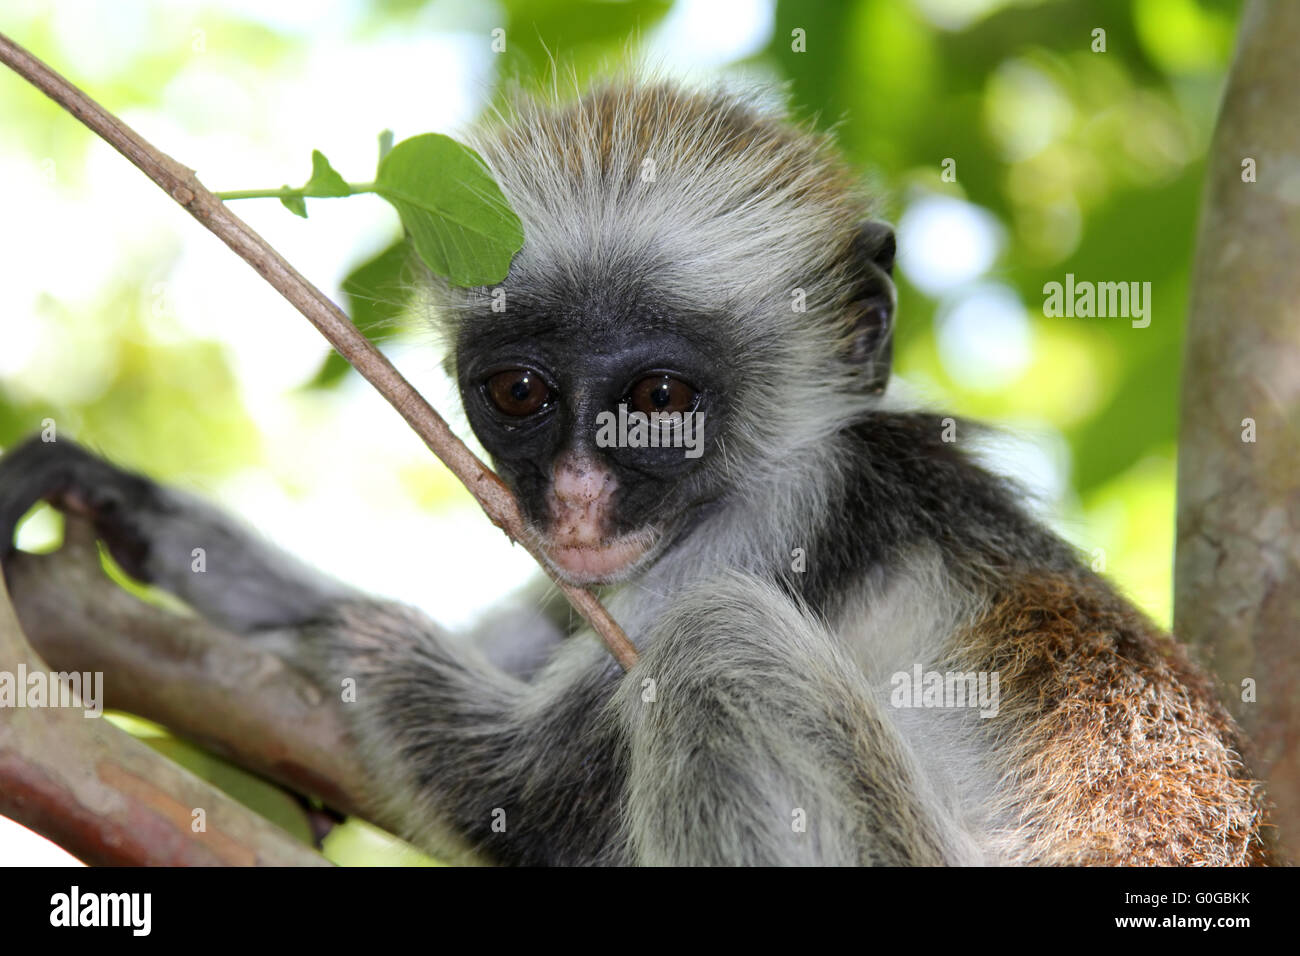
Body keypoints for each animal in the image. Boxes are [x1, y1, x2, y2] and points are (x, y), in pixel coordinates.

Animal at [0, 79, 1272, 866]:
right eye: (520, 392)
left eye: (658, 401)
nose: (569, 497)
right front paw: (143, 514)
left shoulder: (770, 522)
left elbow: (514, 790)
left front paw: (323, 639)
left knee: (719, 642)